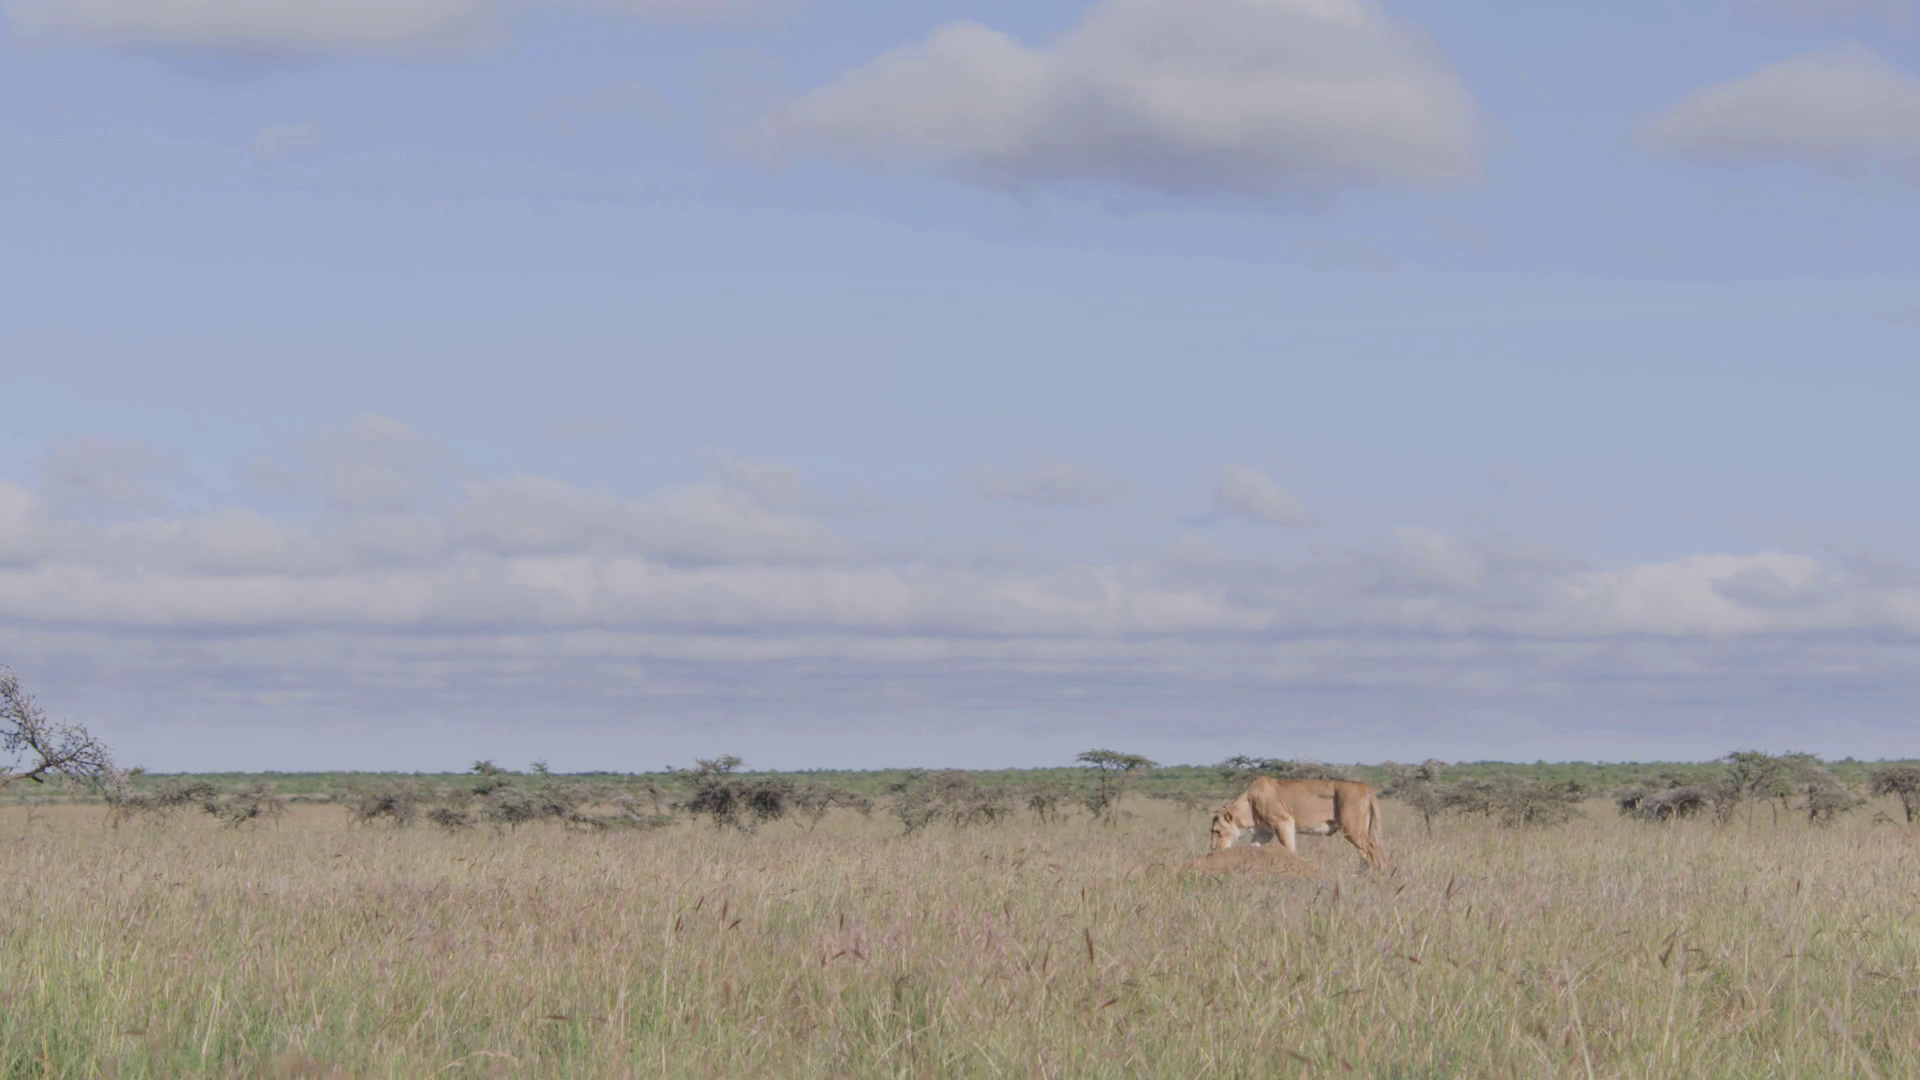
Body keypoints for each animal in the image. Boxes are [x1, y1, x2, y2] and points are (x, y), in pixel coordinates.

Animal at [1209, 776, 1386, 870]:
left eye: (1217, 831)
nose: (1213, 849)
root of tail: (1366, 788)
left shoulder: (1284, 822)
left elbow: (1288, 848)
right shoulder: (1263, 833)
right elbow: (1255, 848)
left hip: (1352, 829)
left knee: (1373, 848)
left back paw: (1378, 872)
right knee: (1367, 851)